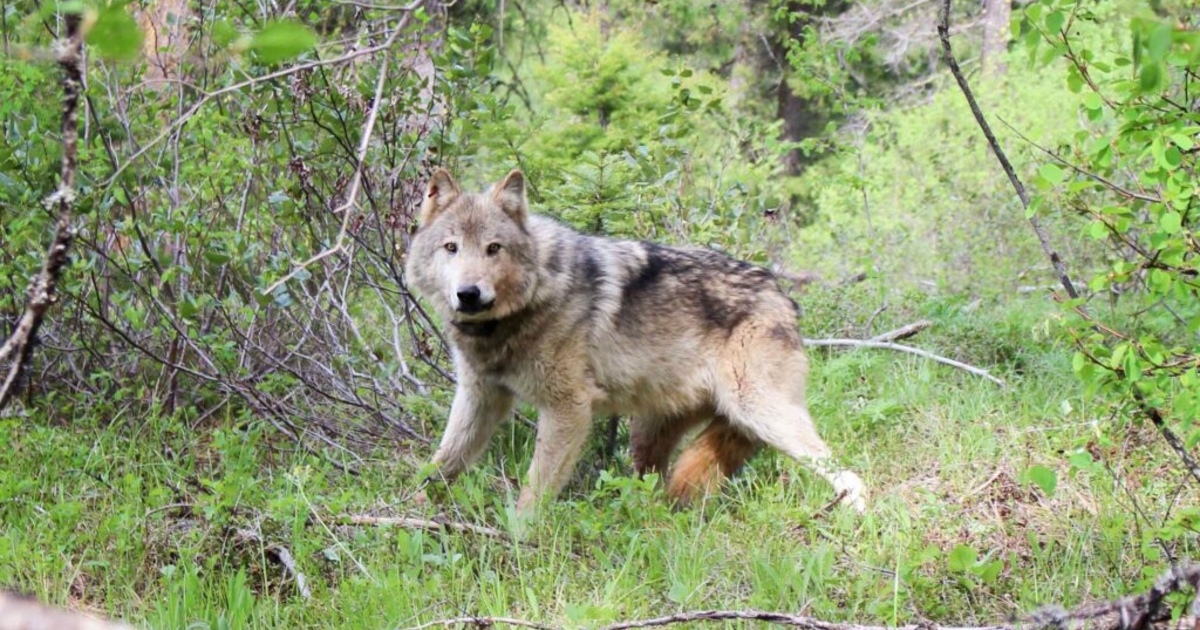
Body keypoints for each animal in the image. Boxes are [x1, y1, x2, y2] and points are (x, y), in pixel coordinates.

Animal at [405, 168, 865, 515]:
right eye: (451, 247)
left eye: (493, 248)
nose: (469, 293)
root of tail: (783, 296)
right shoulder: (480, 398)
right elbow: (439, 464)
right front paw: (406, 513)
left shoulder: (568, 409)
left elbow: (534, 494)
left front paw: (520, 539)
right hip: (651, 435)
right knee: (655, 488)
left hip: (761, 414)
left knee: (849, 474)